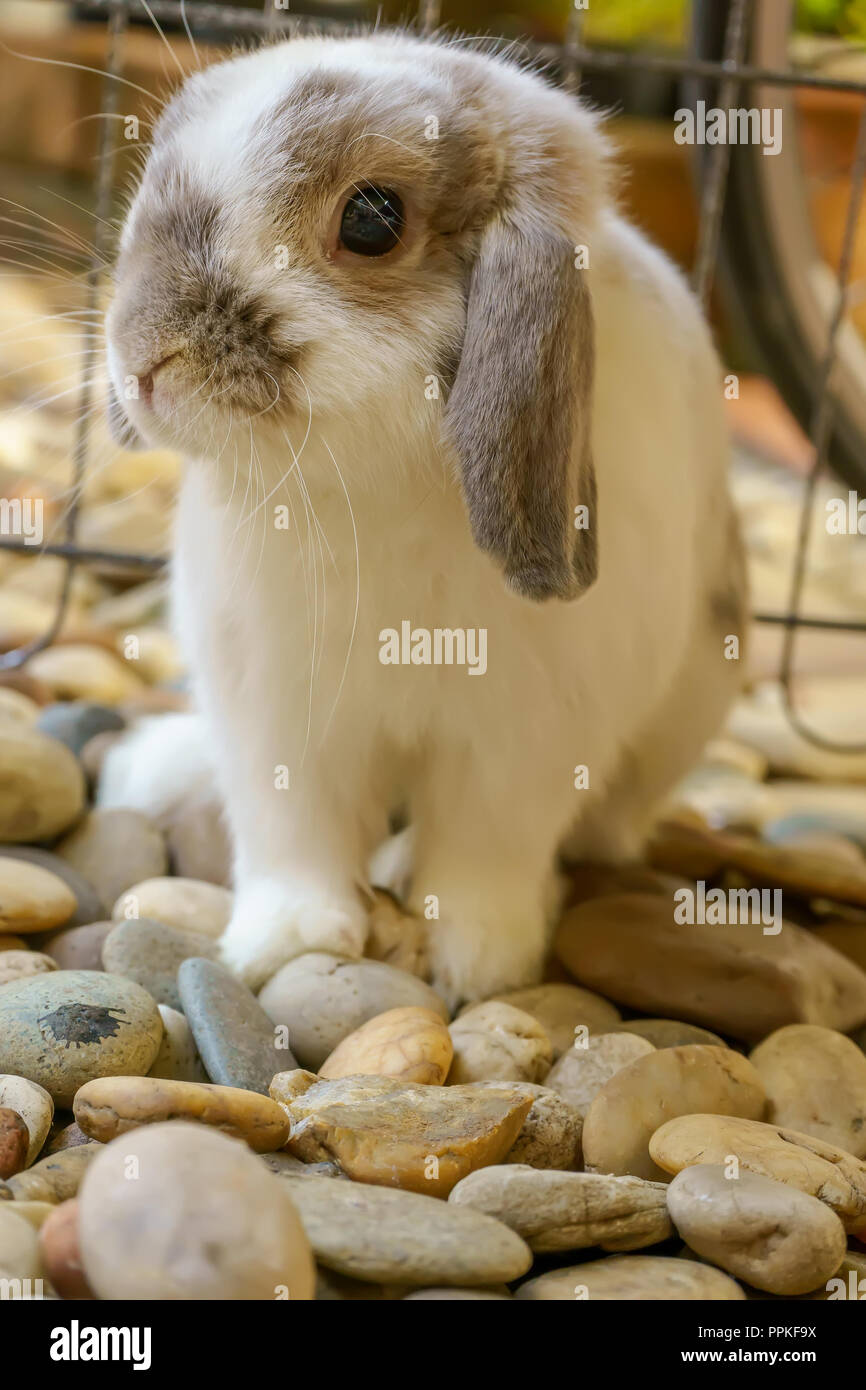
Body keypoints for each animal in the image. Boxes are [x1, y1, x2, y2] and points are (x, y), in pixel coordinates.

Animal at [101, 31, 746, 1007]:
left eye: (372, 219)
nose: (143, 357)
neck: (379, 484)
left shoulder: (526, 741)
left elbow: (486, 855)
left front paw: (480, 964)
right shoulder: (276, 715)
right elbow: (293, 833)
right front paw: (285, 945)